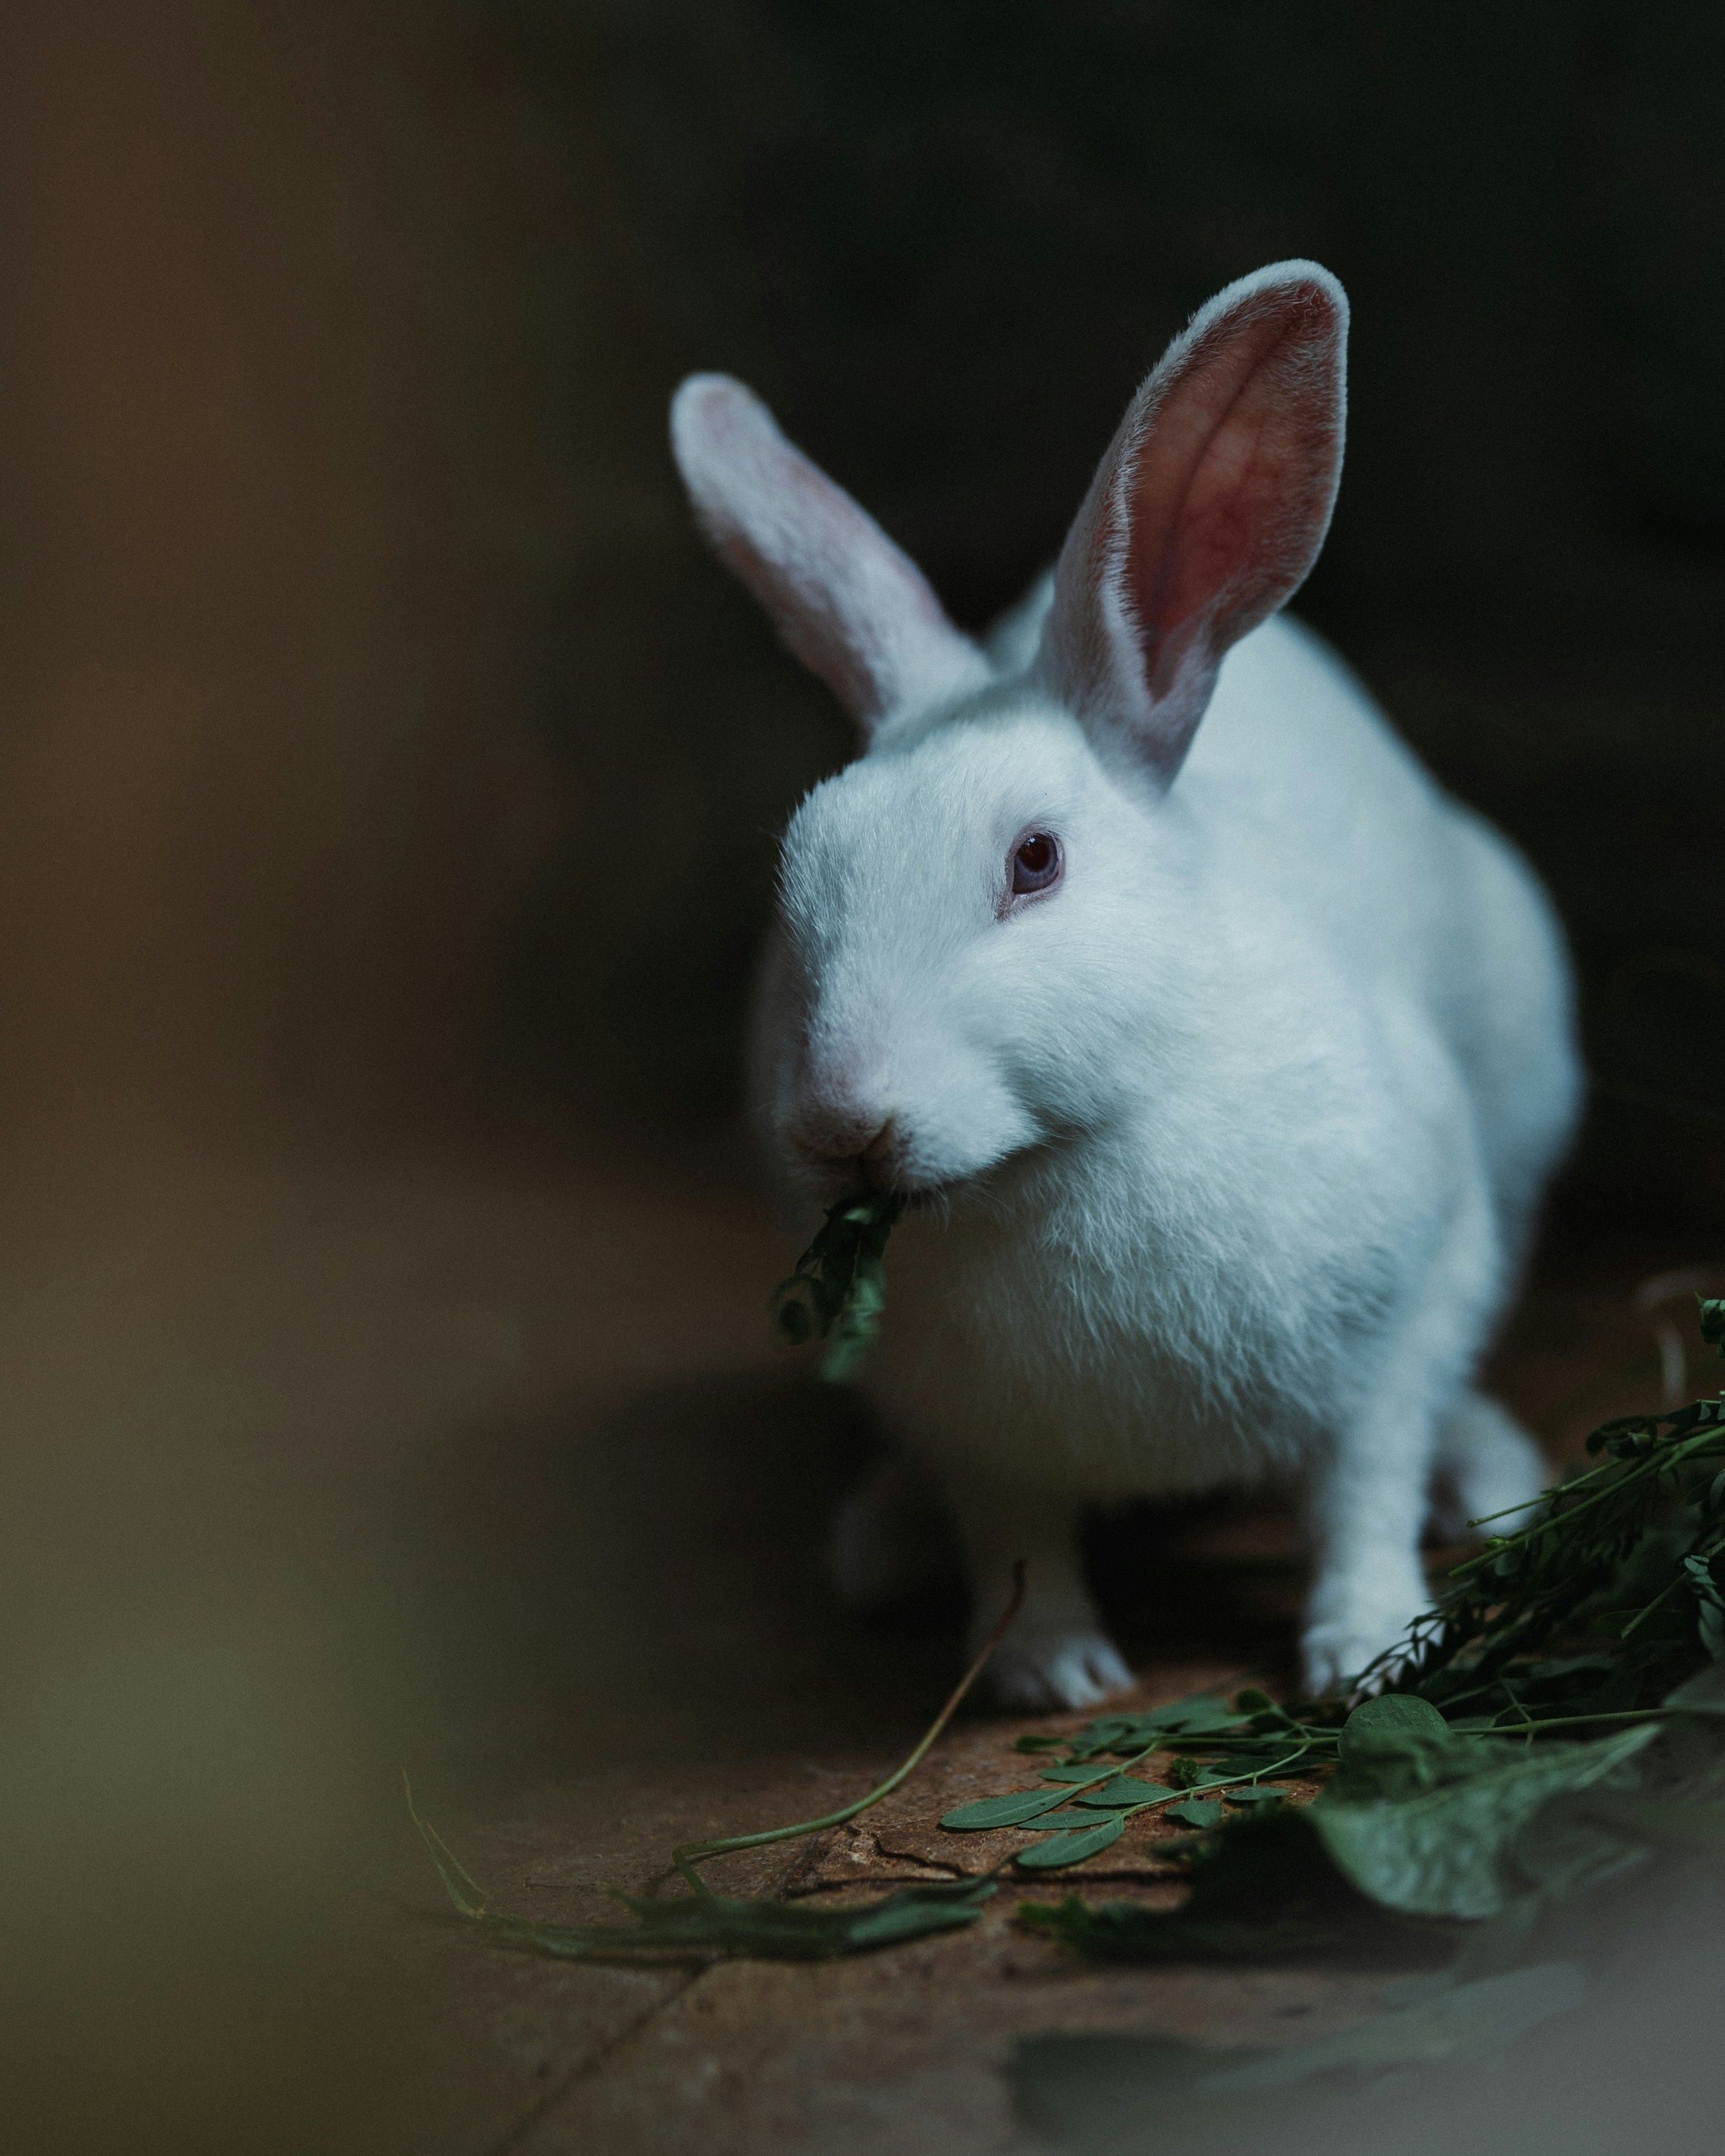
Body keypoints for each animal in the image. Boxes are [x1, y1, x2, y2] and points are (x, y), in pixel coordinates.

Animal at [669, 261, 1581, 1709]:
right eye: (799, 875)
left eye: (1034, 861)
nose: (842, 1120)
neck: (1060, 1151)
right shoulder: (965, 1430)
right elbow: (1017, 1539)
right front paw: (1058, 1676)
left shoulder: (1409, 1305)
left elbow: (1360, 1490)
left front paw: (1369, 1652)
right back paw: (882, 1545)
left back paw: (1488, 1475)